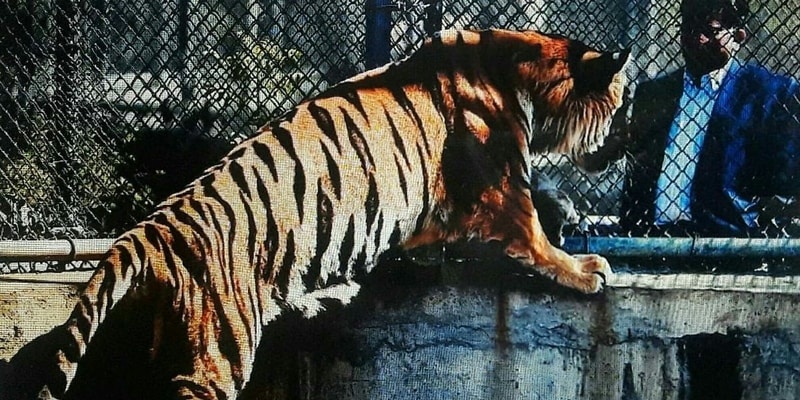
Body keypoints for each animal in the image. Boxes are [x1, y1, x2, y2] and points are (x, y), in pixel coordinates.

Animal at [0, 28, 628, 400]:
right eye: (621, 105)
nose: (625, 148)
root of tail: (150, 231)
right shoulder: (503, 193)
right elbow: (537, 237)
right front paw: (587, 269)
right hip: (217, 353)